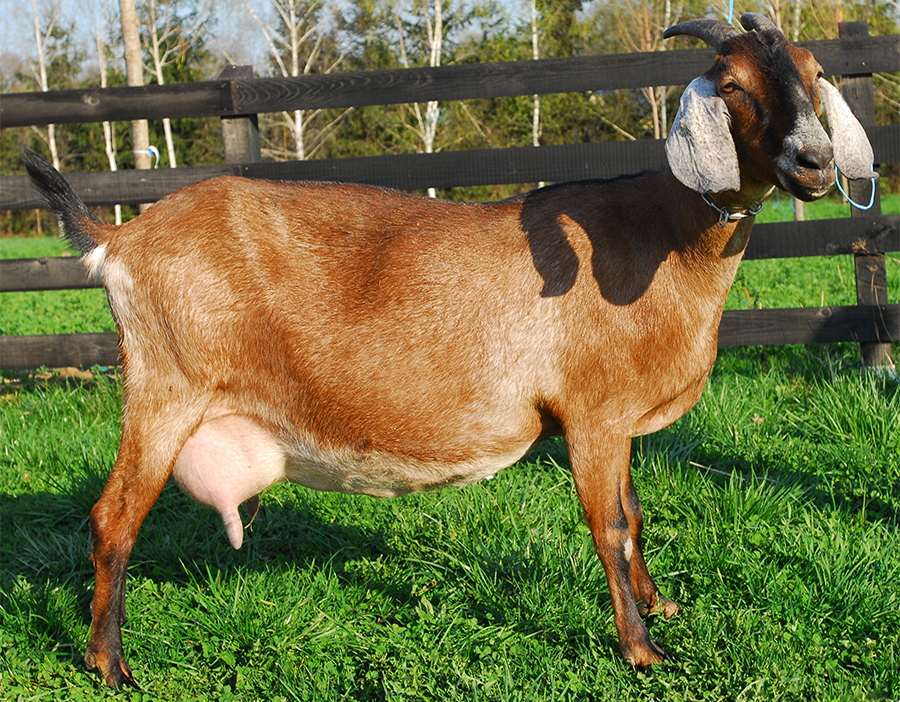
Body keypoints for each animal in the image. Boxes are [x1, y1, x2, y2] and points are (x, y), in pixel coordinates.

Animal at [24, 13, 875, 688]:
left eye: (815, 75)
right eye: (730, 83)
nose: (814, 162)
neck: (658, 235)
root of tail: (119, 237)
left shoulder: (619, 417)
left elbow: (635, 509)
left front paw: (658, 602)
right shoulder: (592, 414)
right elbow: (609, 524)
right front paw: (641, 648)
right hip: (166, 385)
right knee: (112, 519)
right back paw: (110, 665)